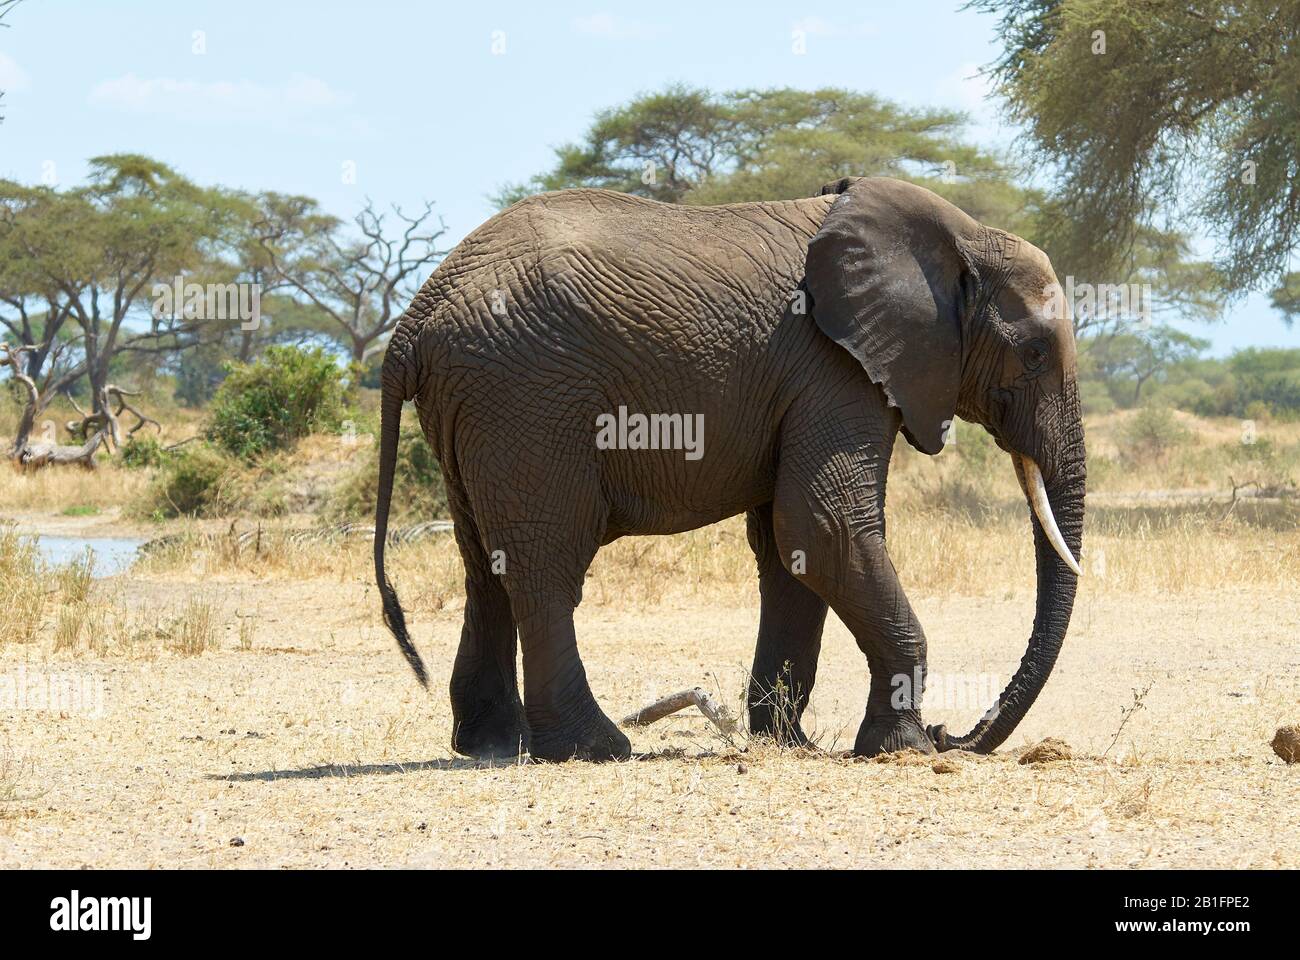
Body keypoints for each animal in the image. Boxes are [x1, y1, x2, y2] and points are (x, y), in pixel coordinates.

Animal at [373, 176, 1085, 763]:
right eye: (1033, 352)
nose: (956, 735)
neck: (961, 234)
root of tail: (414, 319)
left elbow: (790, 548)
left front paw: (788, 743)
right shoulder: (835, 369)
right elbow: (824, 526)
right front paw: (901, 749)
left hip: (473, 411)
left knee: (483, 564)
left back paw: (493, 745)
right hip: (527, 401)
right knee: (546, 562)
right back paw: (595, 748)